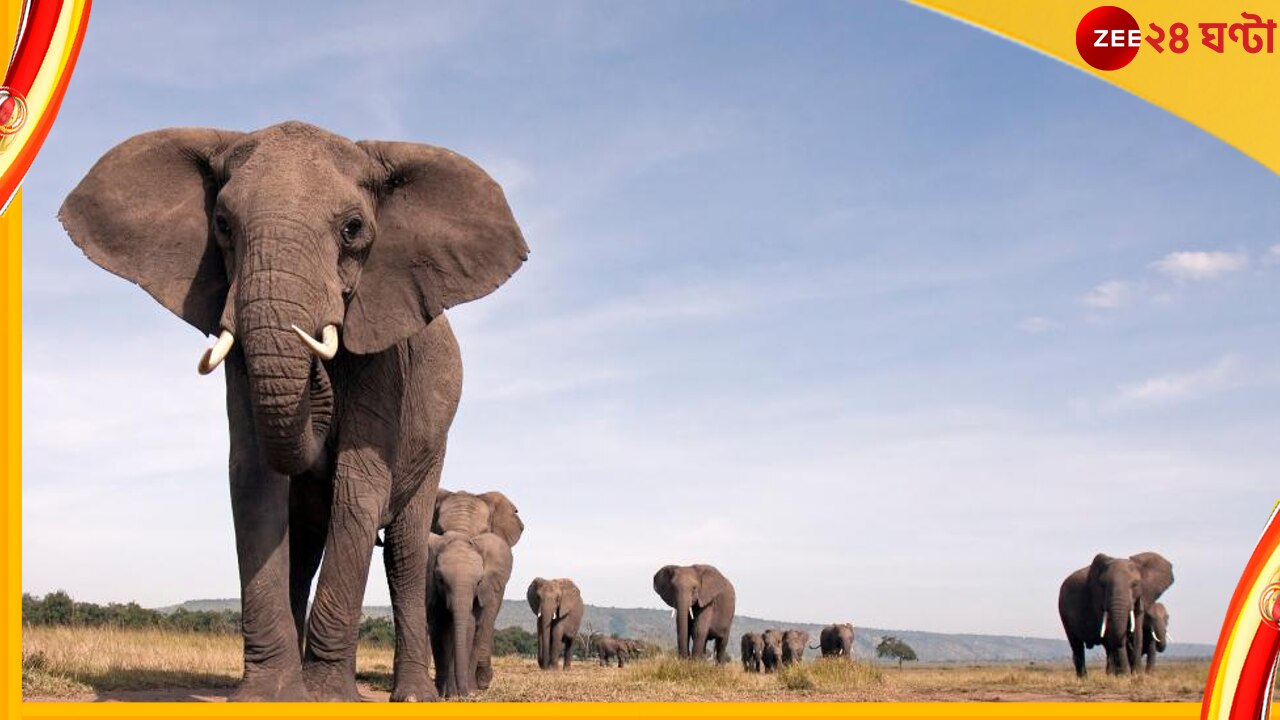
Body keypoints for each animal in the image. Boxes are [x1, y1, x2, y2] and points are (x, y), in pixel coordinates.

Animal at [426, 531, 513, 698]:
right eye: (440, 580)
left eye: (479, 582)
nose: (463, 694)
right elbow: (439, 629)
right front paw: (441, 694)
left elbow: (469, 627)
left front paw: (454, 695)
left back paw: (472, 690)